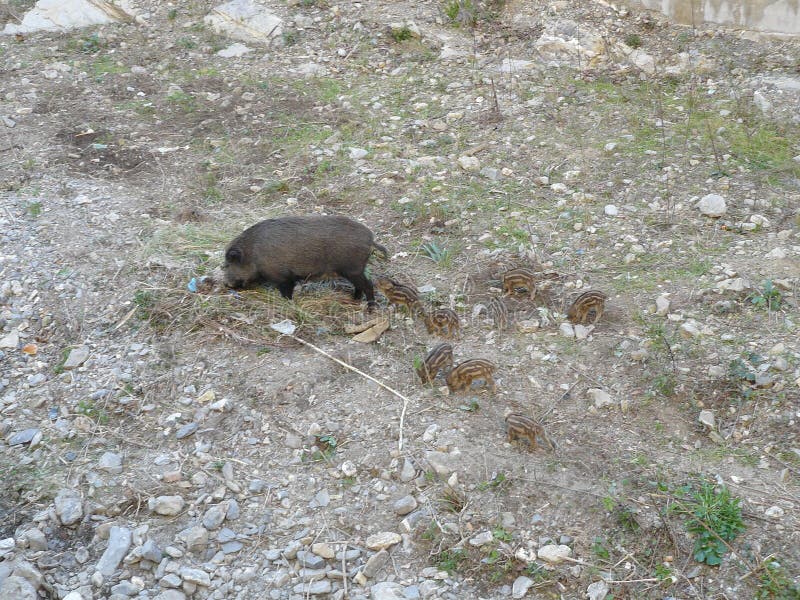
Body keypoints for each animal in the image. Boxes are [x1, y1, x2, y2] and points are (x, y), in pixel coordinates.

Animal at [222, 215, 388, 305]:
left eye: (228, 265)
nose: (226, 284)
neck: (253, 254)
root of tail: (370, 239)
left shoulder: (283, 277)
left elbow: (287, 293)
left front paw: (288, 304)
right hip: (354, 270)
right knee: (361, 285)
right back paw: (354, 300)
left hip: (352, 269)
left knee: (368, 285)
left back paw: (370, 309)